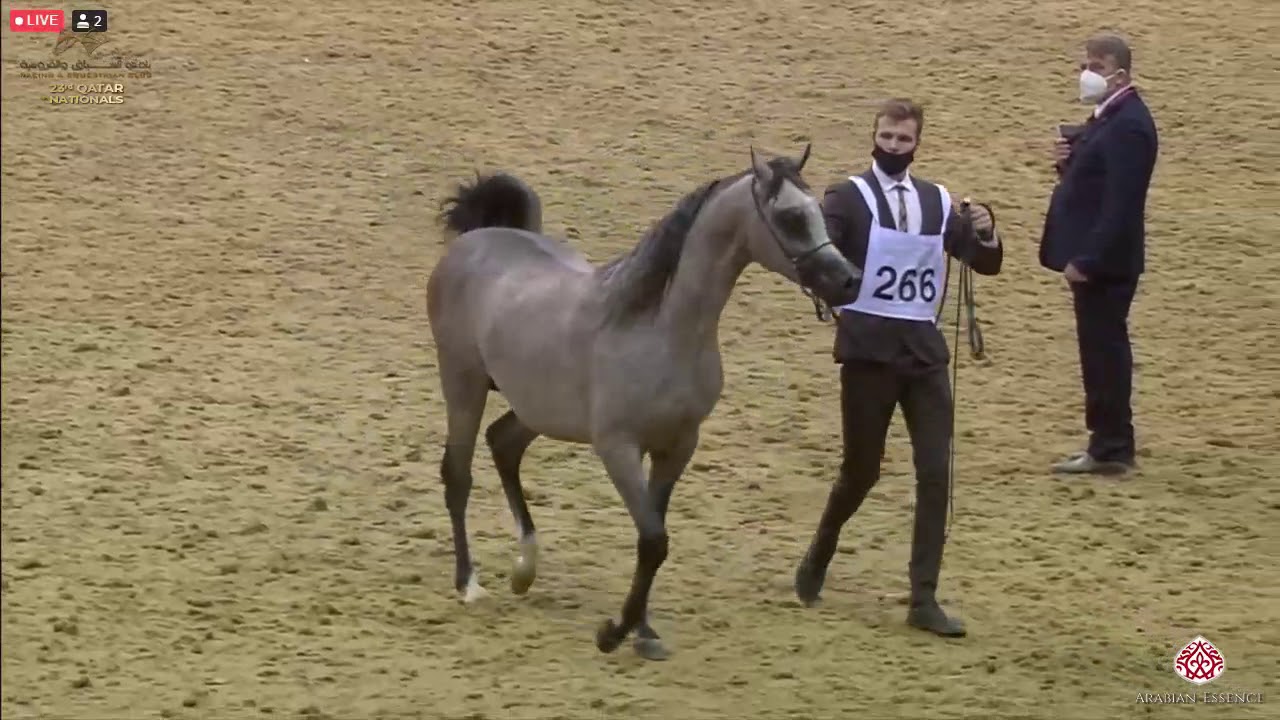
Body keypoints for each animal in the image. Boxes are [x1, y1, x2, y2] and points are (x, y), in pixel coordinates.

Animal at [425, 144, 861, 661]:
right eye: (791, 217)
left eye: (820, 212)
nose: (848, 280)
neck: (658, 328)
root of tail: (476, 241)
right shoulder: (618, 447)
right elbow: (653, 539)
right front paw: (614, 632)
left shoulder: (677, 447)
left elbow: (652, 536)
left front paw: (643, 631)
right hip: (464, 386)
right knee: (458, 475)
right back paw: (468, 583)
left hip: (538, 408)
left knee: (503, 444)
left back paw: (524, 569)